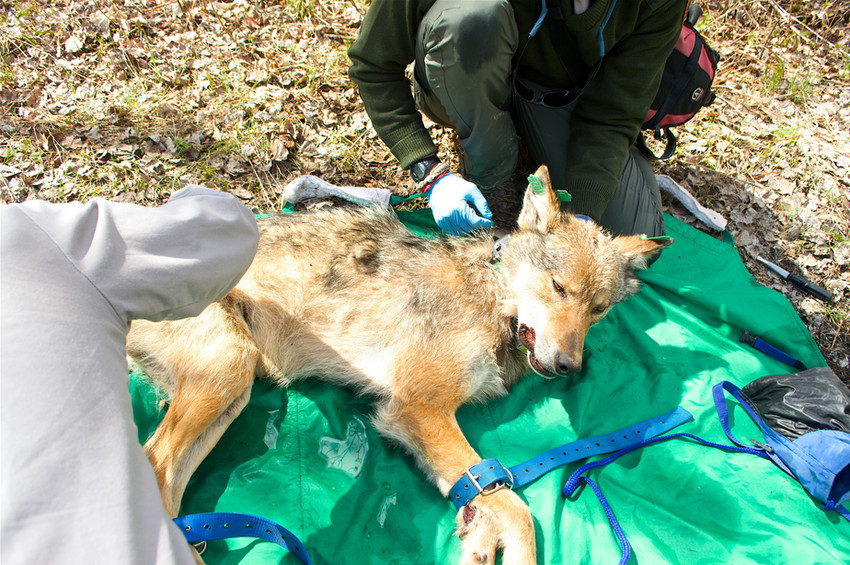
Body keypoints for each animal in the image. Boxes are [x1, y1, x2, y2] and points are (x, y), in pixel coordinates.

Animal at [127, 165, 670, 565]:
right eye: (559, 288)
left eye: (598, 309)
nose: (568, 368)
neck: (492, 295)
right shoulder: (418, 408)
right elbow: (519, 513)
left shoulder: (422, 425)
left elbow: (485, 490)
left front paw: (476, 541)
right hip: (227, 371)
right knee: (154, 465)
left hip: (231, 394)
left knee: (166, 487)